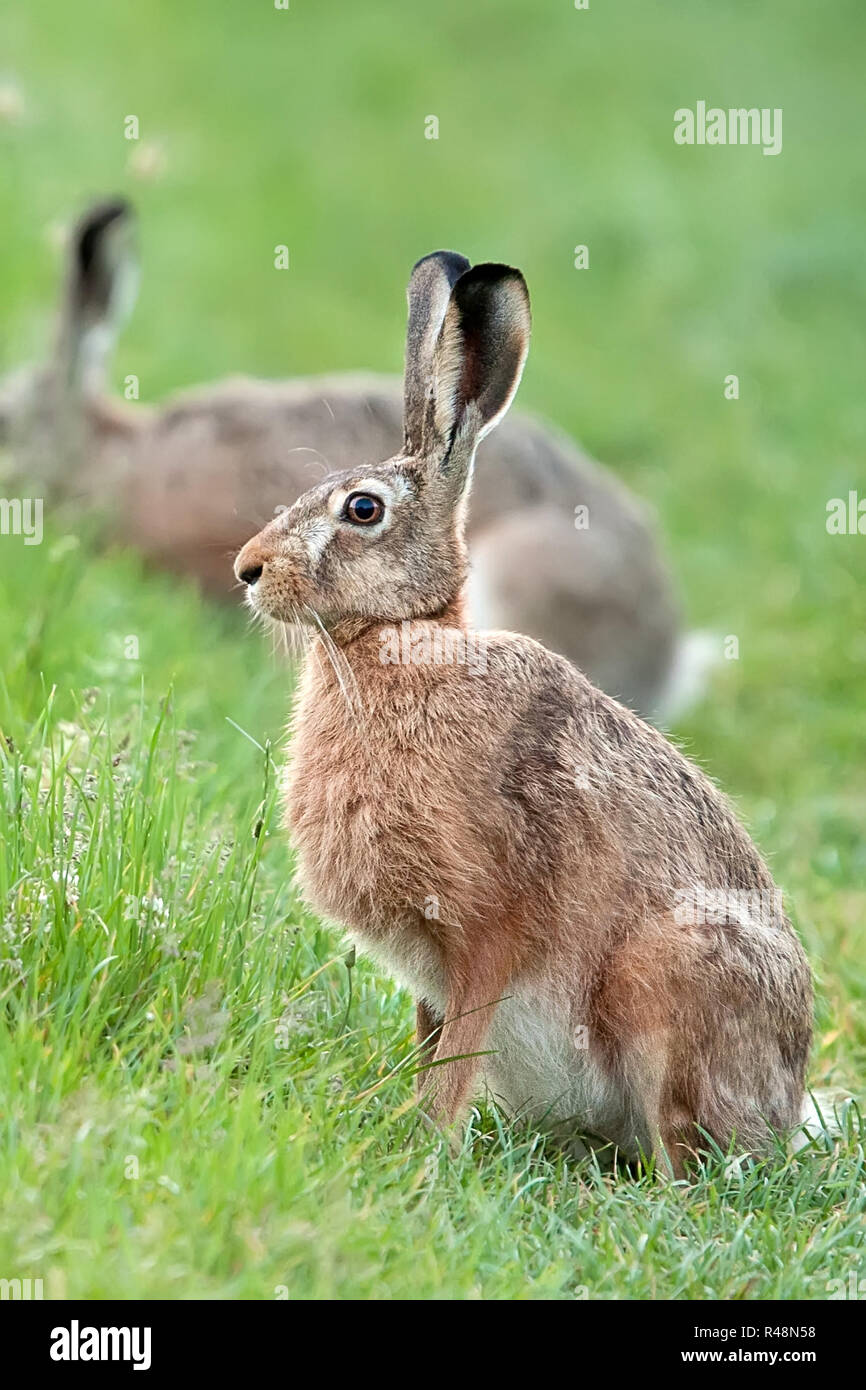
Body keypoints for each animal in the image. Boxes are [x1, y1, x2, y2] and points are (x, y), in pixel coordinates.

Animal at [233, 255, 813, 1176]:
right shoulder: (430, 971)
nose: (247, 570)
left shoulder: (487, 929)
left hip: (672, 972)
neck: (404, 639)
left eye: (362, 509)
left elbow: (455, 1059)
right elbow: (431, 1046)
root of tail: (785, 1112)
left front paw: (423, 1151)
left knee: (686, 1157)